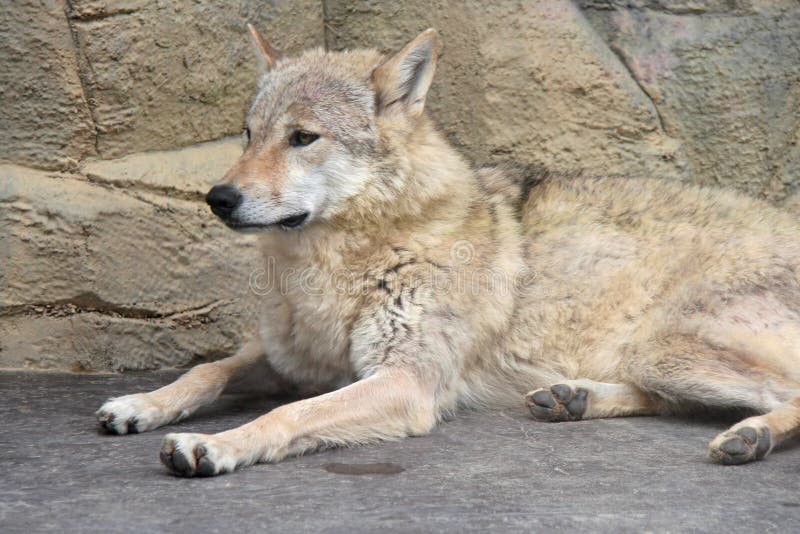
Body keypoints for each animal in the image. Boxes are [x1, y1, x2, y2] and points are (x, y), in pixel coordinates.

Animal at [96, 26, 800, 476]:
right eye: (247, 134)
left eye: (303, 138)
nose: (218, 198)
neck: (338, 266)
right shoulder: (290, 356)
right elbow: (206, 371)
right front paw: (141, 405)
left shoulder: (405, 381)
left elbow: (288, 414)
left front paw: (212, 446)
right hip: (654, 359)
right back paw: (574, 399)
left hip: (665, 348)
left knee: (777, 398)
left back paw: (749, 437)